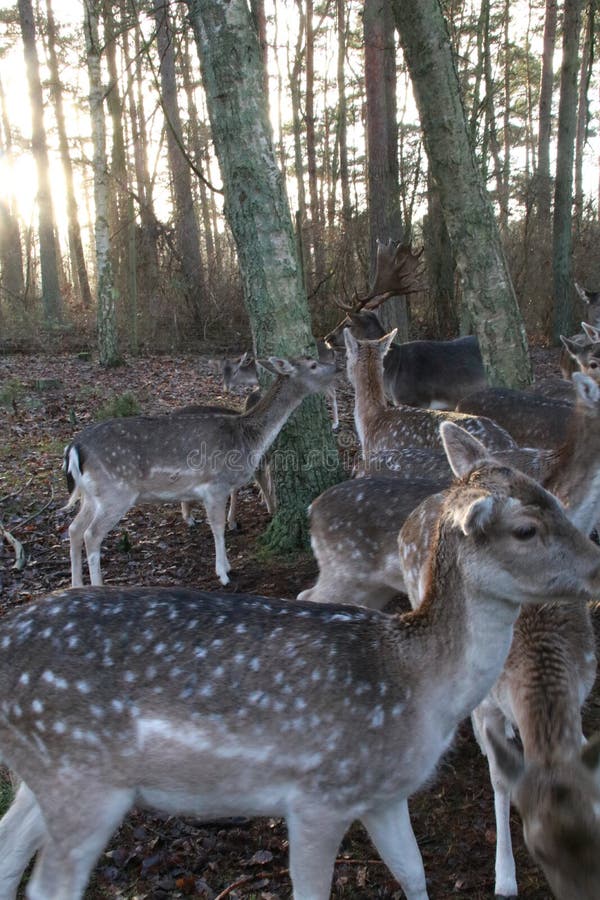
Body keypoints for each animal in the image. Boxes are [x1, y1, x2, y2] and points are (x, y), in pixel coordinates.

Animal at [62, 356, 335, 588]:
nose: (336, 367)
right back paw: (97, 587)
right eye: (312, 364)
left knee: (74, 529)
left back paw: (76, 586)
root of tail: (74, 448)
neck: (247, 439)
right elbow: (217, 527)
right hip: (115, 492)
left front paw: (227, 566)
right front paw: (223, 574)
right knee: (91, 534)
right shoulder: (215, 484)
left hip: (92, 495)